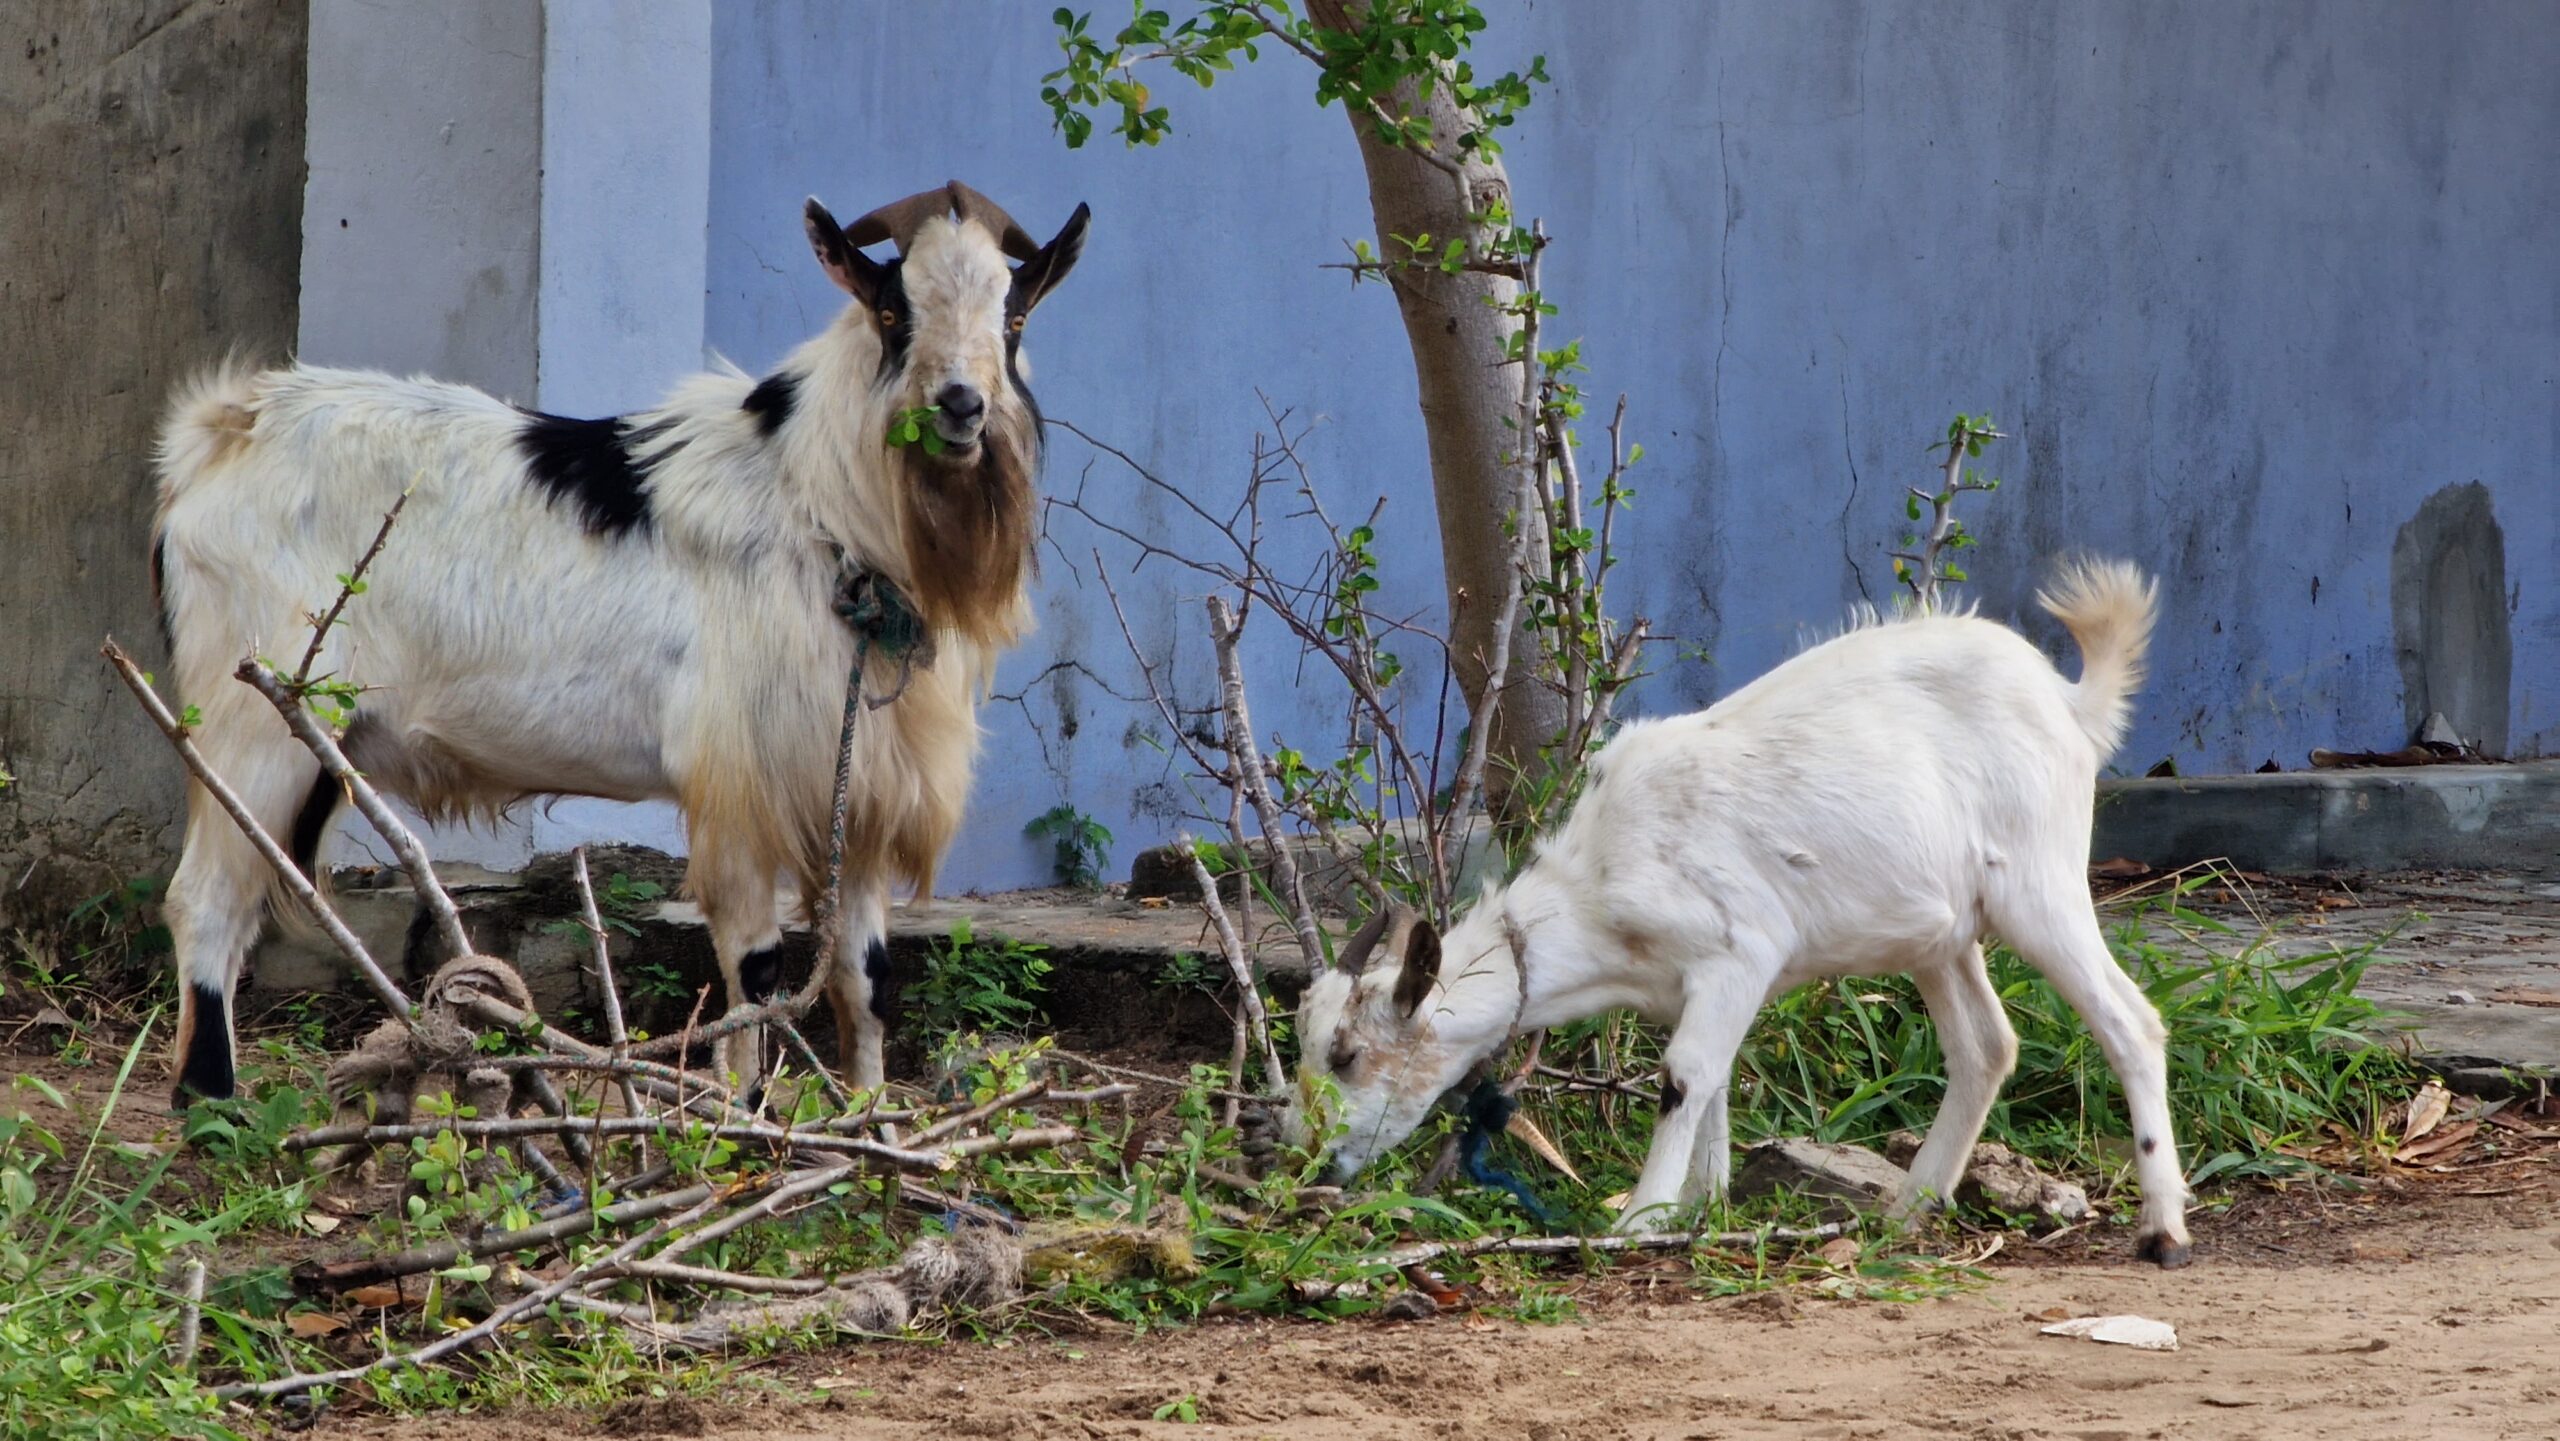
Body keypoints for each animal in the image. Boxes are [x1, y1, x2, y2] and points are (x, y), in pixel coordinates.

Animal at [153, 181, 1089, 1104]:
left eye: (1013, 318)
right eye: (894, 310)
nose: (960, 407)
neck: (814, 500)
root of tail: (221, 432)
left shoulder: (857, 798)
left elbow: (866, 977)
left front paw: (869, 1122)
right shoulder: (737, 786)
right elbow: (756, 972)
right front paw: (743, 1122)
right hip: (253, 718)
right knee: (204, 898)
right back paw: (209, 1103)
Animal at [1286, 560, 2193, 1265]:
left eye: (1346, 1054)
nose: (1307, 1161)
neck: (1598, 883)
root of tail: (2070, 701)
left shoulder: (1740, 949)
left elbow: (1683, 1074)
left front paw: (1636, 1217)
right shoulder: (1688, 984)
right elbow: (1712, 1080)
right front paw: (1697, 1209)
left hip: (2040, 883)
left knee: (2130, 1020)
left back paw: (2163, 1230)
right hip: (1940, 936)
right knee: (1986, 1045)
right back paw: (1907, 1210)